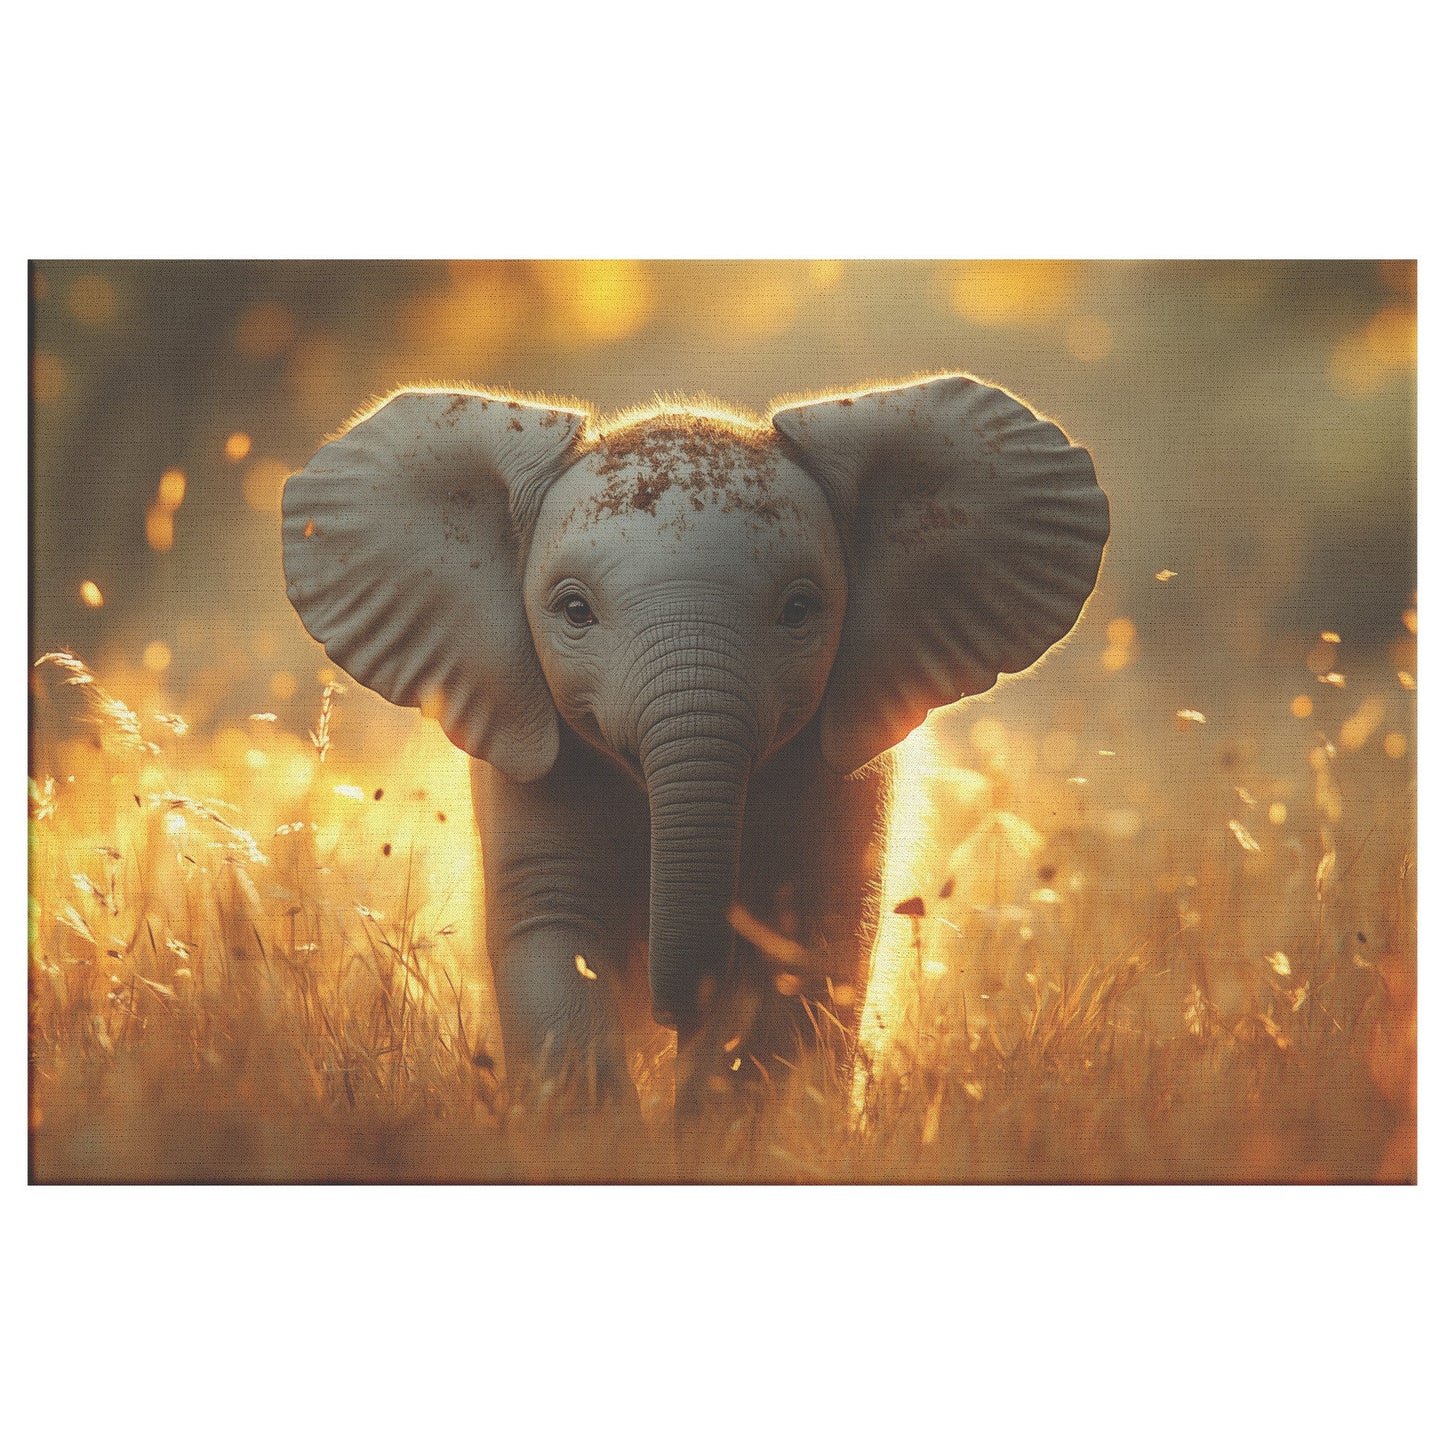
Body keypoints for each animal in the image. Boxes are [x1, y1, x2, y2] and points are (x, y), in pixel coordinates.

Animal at [281, 373, 1109, 1111]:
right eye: (573, 610)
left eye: (799, 610)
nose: (672, 1010)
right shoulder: (531, 764)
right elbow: (553, 931)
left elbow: (798, 952)